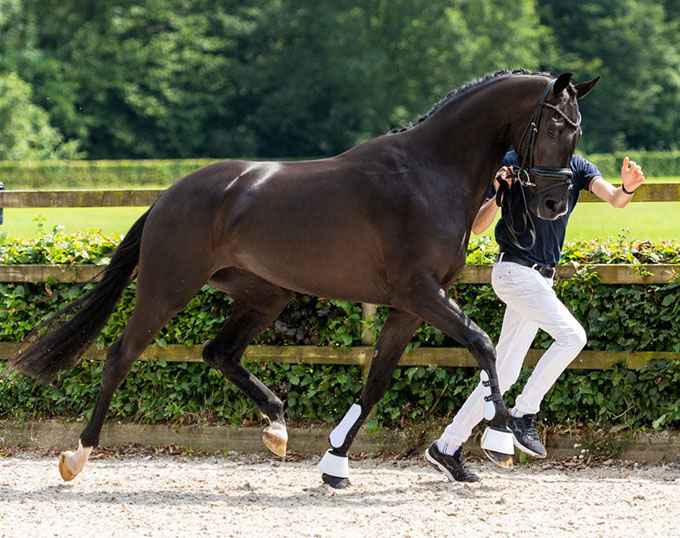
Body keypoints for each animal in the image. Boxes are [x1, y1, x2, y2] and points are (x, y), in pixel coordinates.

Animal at [10, 69, 598, 488]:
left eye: (577, 130)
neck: (430, 172)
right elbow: (482, 345)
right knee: (121, 356)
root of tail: (169, 195)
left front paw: (336, 464)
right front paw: (501, 439)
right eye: (554, 127)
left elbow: (377, 380)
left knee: (219, 352)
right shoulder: (419, 292)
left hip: (265, 295)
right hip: (167, 289)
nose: (552, 205)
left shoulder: (411, 305)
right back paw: (77, 455)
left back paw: (276, 427)